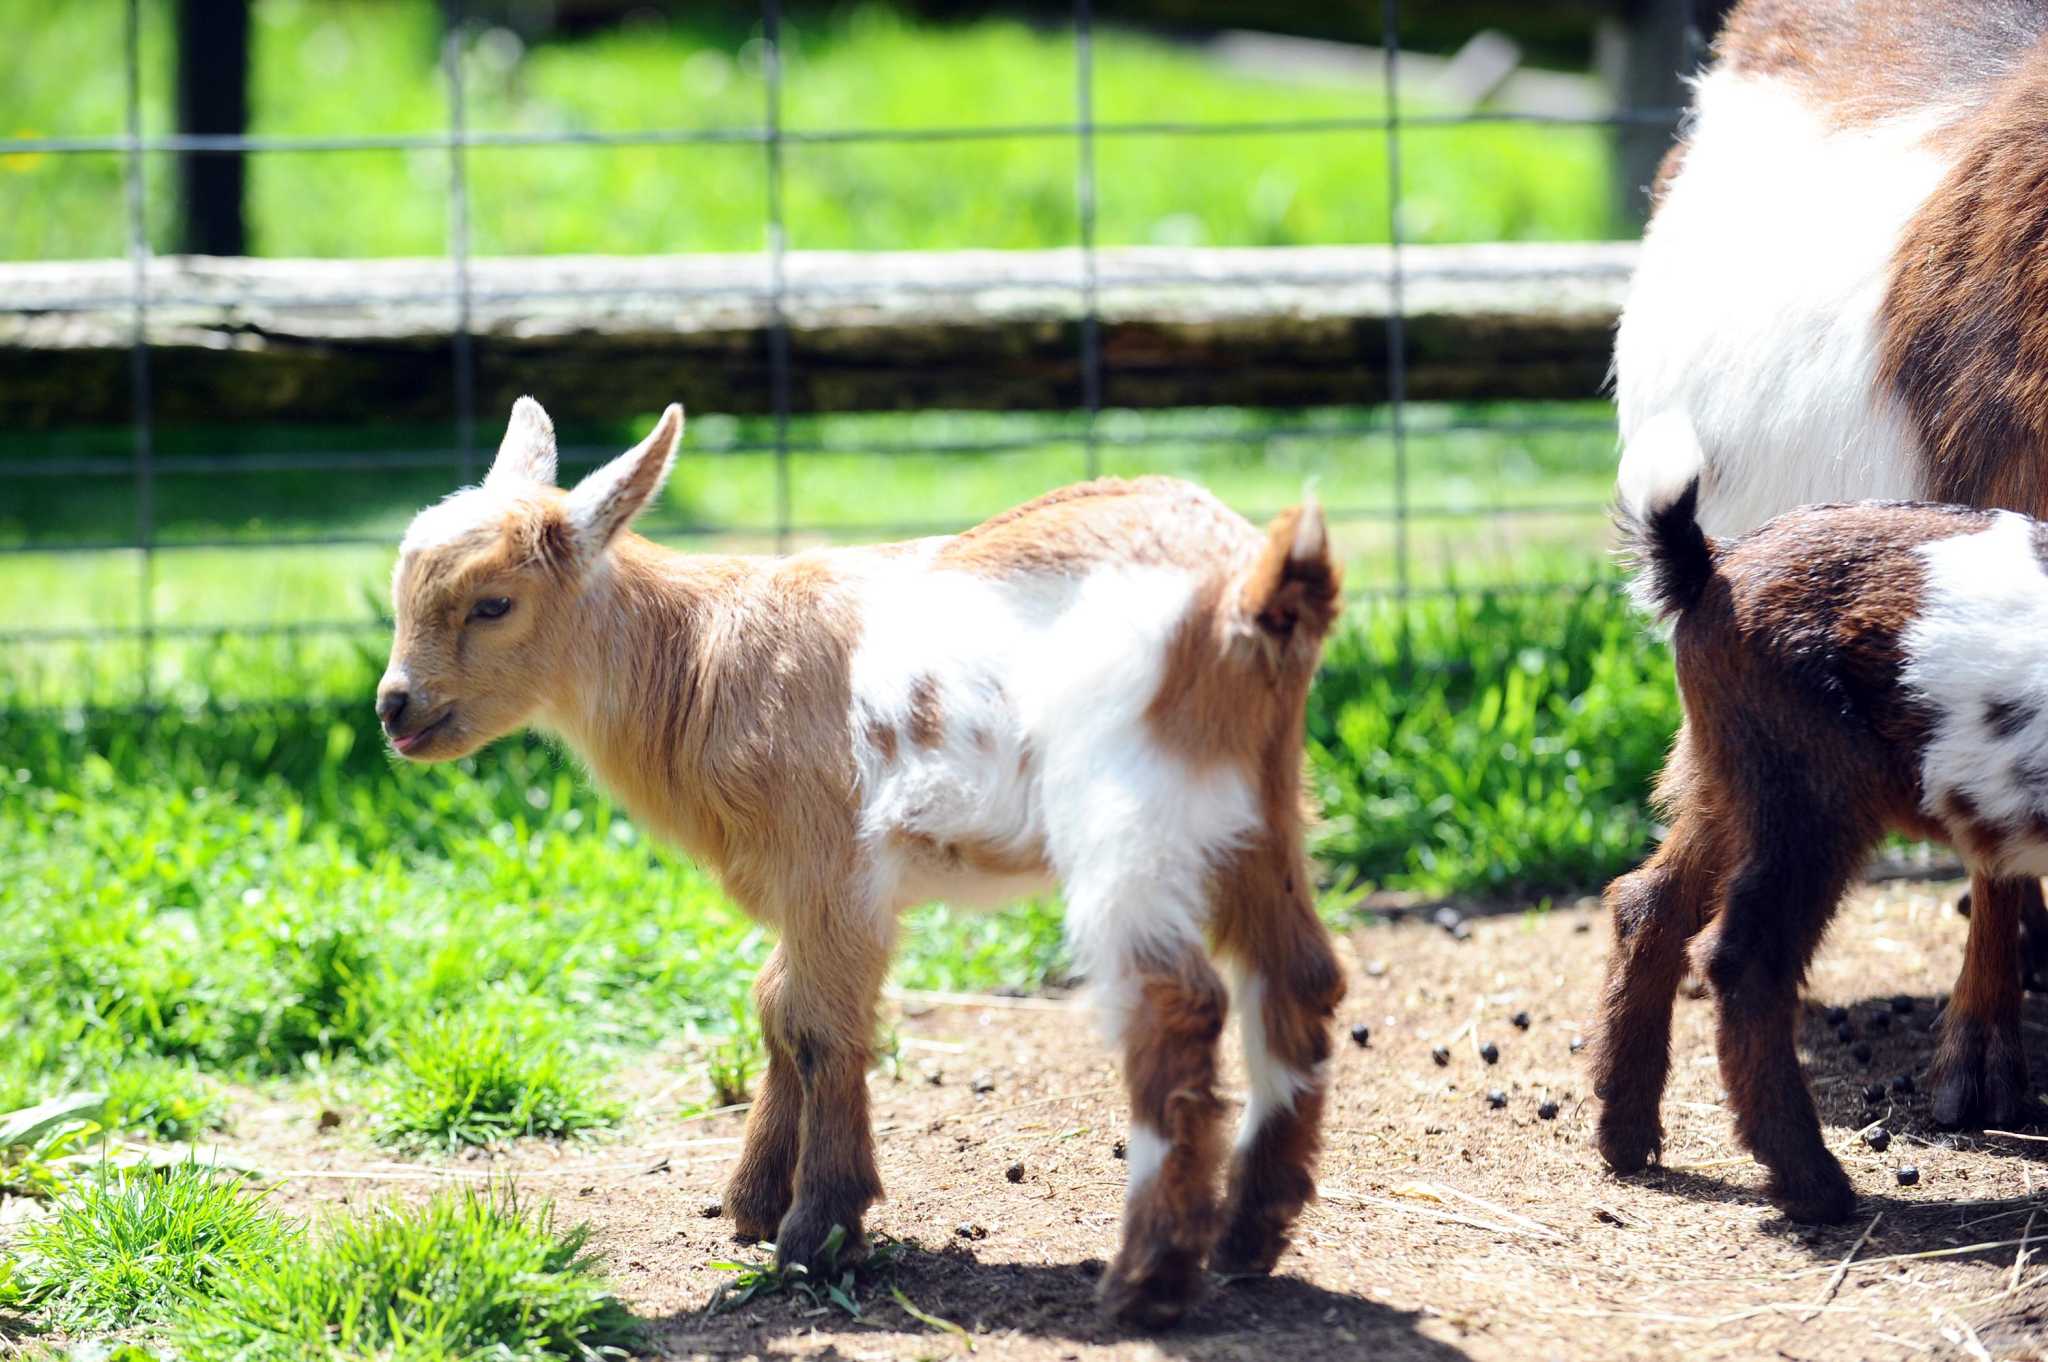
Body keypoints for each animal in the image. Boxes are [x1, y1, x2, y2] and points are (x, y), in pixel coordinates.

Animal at [376, 397, 1345, 1327]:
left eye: (493, 604)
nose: (395, 708)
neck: (699, 660)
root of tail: (1257, 585)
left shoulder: (831, 862)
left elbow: (816, 1023)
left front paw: (820, 1234)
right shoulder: (816, 884)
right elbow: (779, 1004)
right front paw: (758, 1200)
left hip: (1128, 808)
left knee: (1174, 1006)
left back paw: (1148, 1283)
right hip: (1259, 805)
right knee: (1298, 976)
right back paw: (1247, 1238)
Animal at [1593, 413, 2038, 1222]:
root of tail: (1708, 562)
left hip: (1726, 771)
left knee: (1649, 903)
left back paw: (1626, 1138)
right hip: (1809, 790)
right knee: (1743, 958)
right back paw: (1816, 1188)